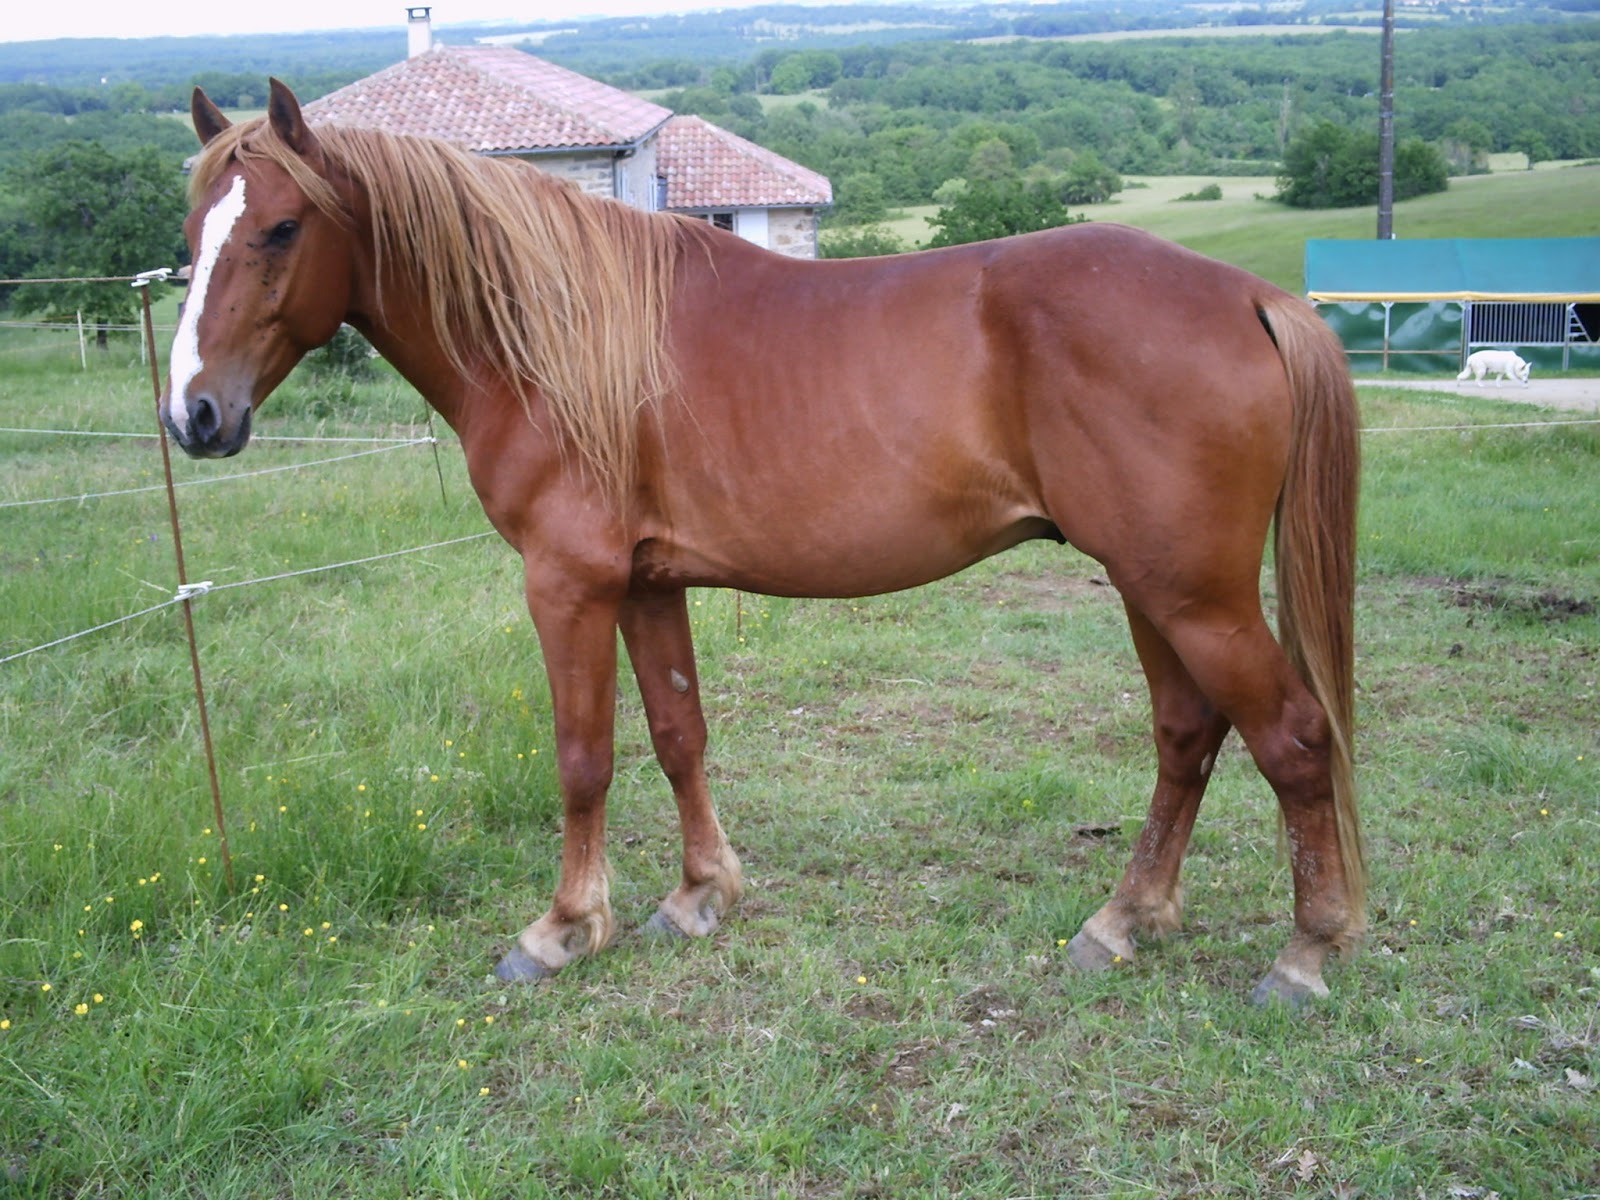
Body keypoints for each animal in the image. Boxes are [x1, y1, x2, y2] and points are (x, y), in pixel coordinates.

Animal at [162, 79, 1364, 1005]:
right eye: (189, 237)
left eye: (280, 228)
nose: (194, 416)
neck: (555, 341)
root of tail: (1254, 300)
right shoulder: (646, 584)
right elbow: (677, 733)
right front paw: (698, 897)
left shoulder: (567, 584)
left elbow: (584, 757)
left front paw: (561, 929)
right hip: (1150, 587)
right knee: (1187, 736)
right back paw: (1125, 921)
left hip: (1192, 595)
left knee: (1295, 740)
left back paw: (1305, 954)